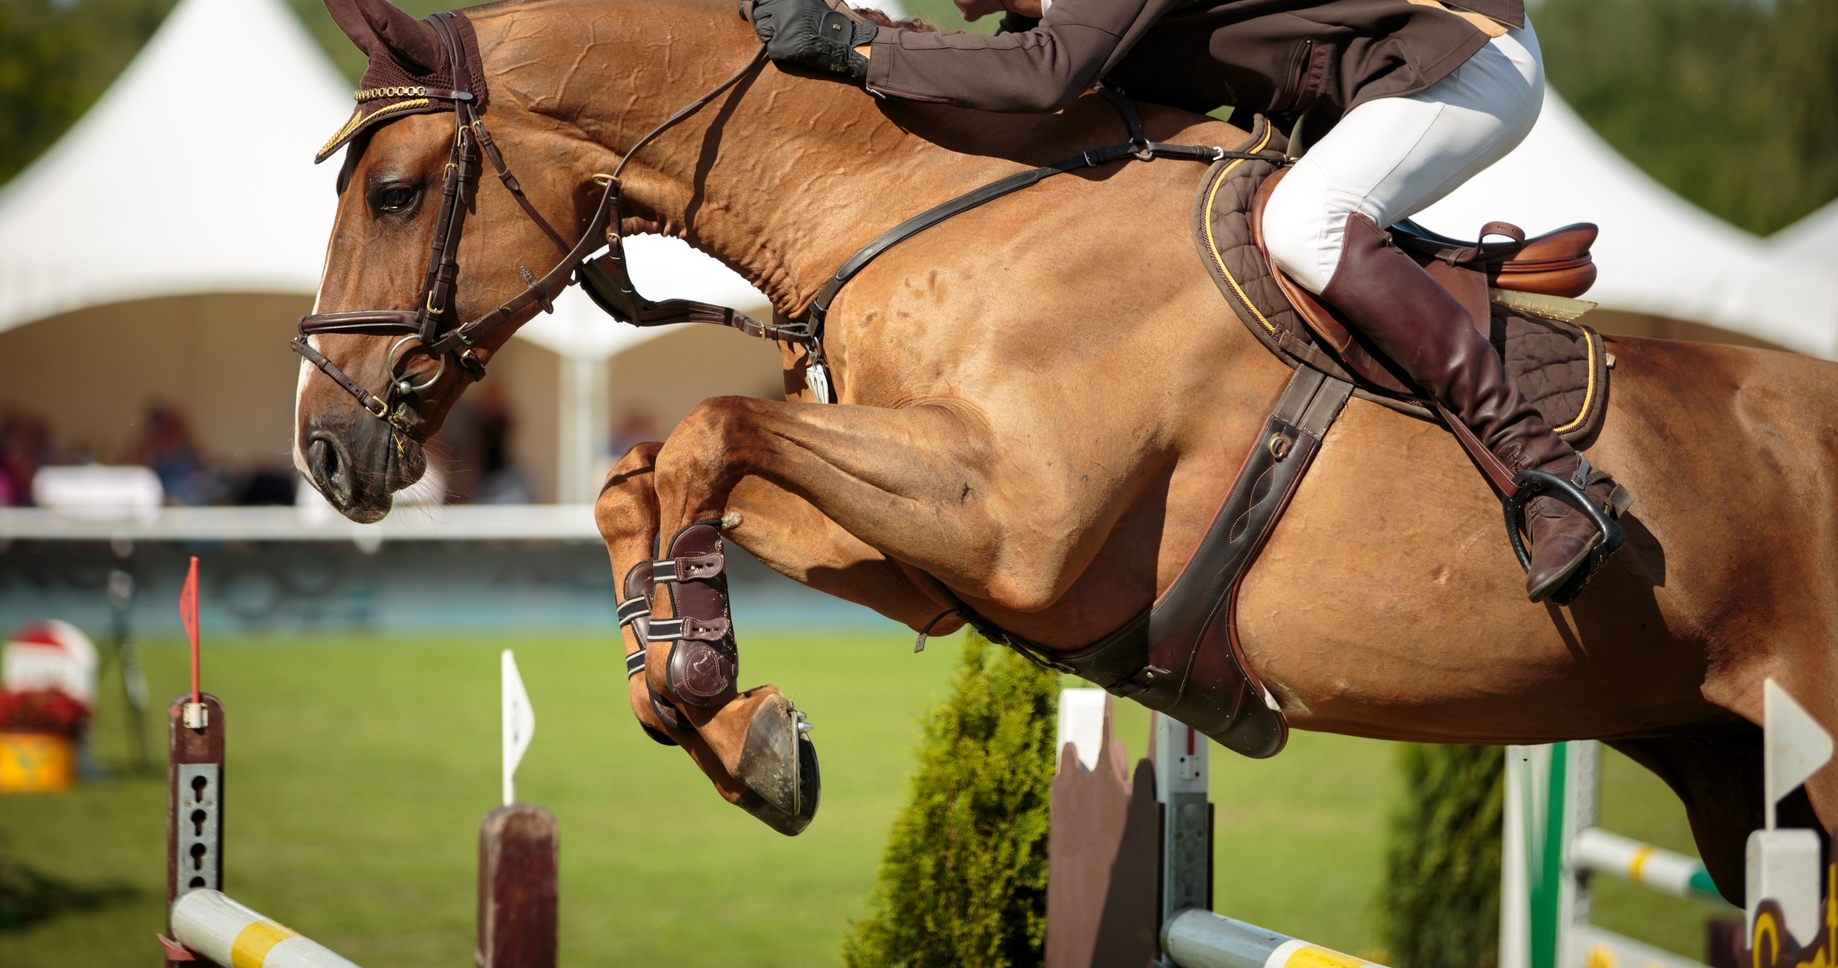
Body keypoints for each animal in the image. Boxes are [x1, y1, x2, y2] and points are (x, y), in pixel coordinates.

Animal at [293, 0, 1838, 902]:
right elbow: (651, 477)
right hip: (1727, 767)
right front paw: (732, 721)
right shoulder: (935, 556)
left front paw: (701, 678)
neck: (927, 199)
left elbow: (710, 430)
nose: (323, 450)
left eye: (395, 190)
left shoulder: (1015, 529)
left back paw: (1563, 516)